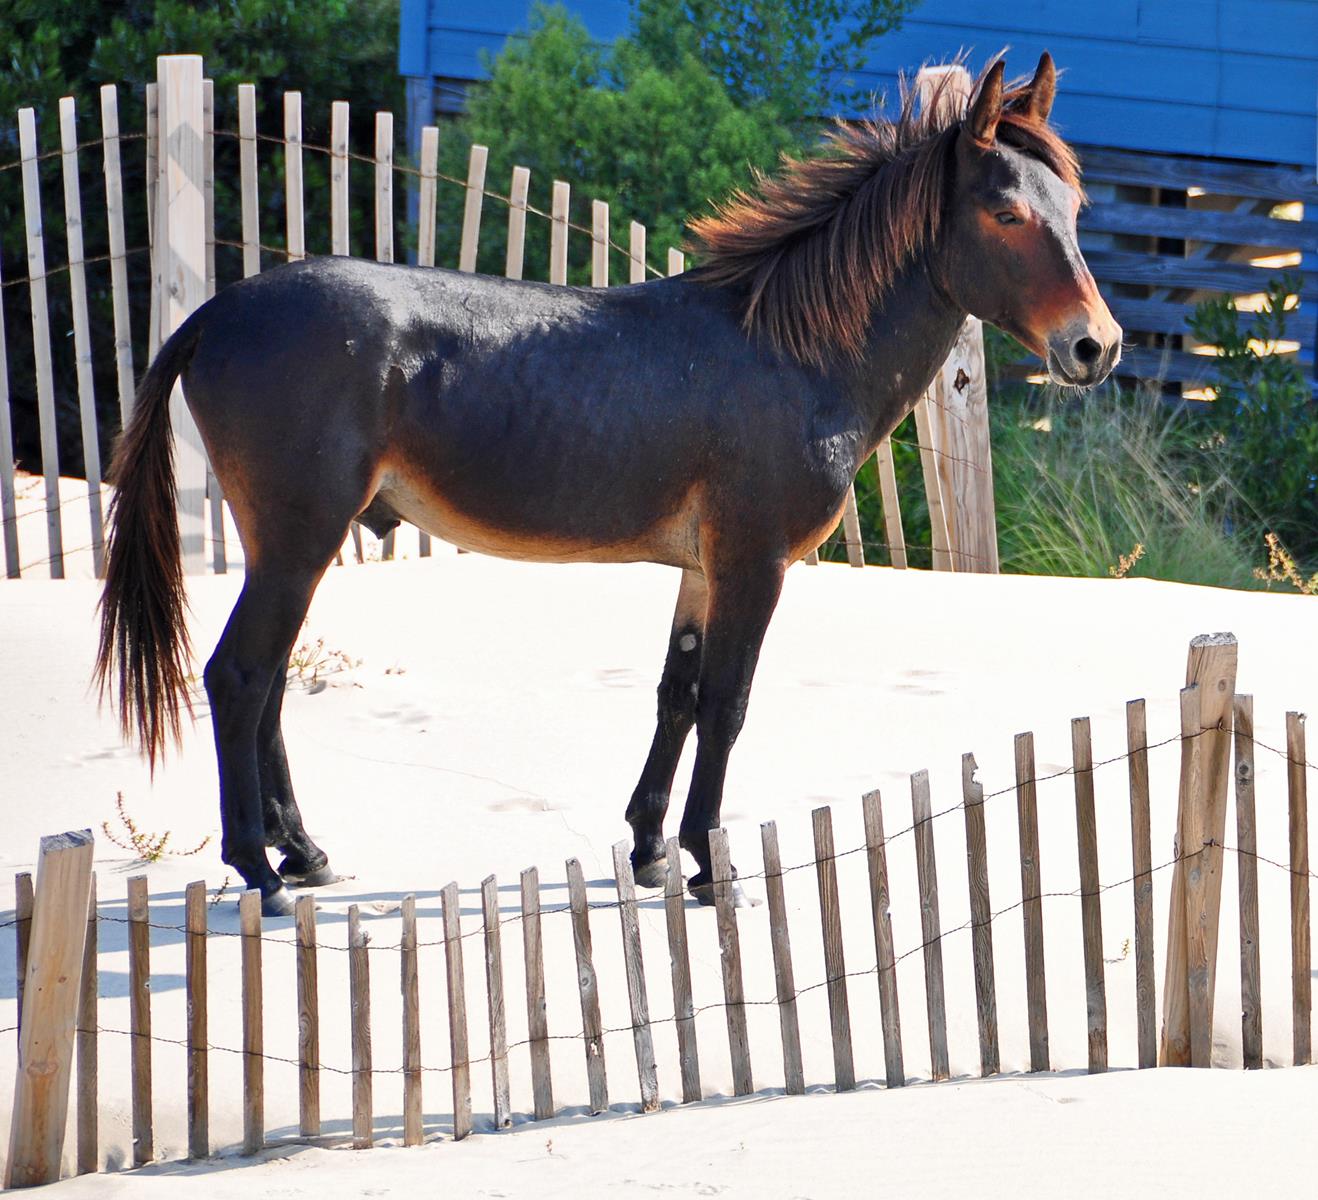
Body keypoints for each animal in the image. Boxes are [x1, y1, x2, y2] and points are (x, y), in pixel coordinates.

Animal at [96, 55, 1121, 916]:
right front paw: (712, 866)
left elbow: (678, 695)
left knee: (266, 685)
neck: (790, 352)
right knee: (240, 677)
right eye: (1006, 215)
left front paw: (654, 849)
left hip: (291, 544)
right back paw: (260, 870)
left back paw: (305, 854)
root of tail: (216, 313)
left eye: (1072, 206)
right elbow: (727, 705)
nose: (1096, 347)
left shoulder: (704, 568)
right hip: (299, 536)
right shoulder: (754, 563)